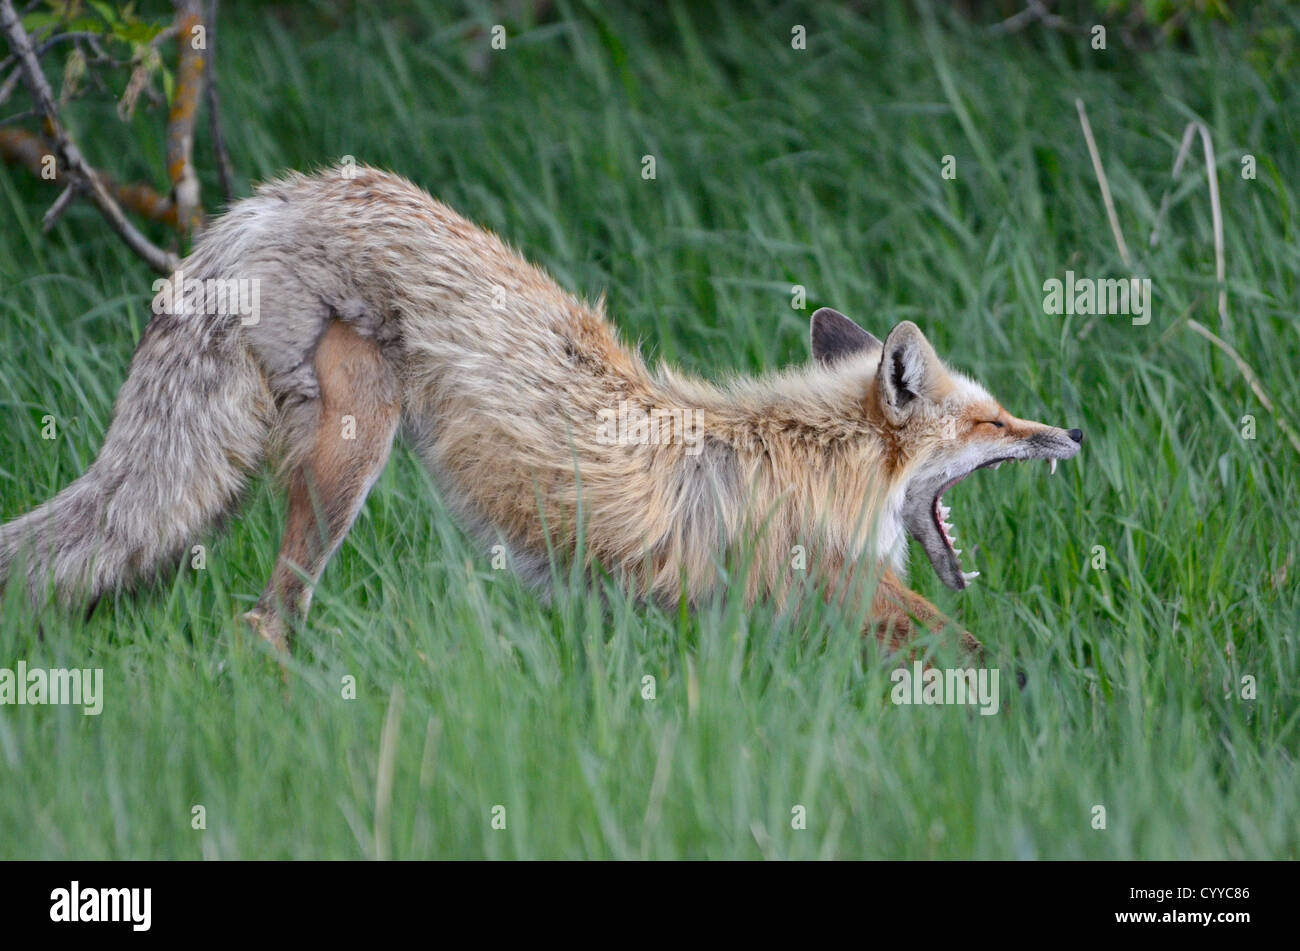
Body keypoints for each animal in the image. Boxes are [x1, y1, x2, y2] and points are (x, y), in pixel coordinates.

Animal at [0, 165, 1082, 654]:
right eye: (992, 422)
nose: (1070, 432)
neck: (814, 454)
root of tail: (283, 196)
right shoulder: (831, 587)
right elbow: (973, 651)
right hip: (354, 452)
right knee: (264, 619)